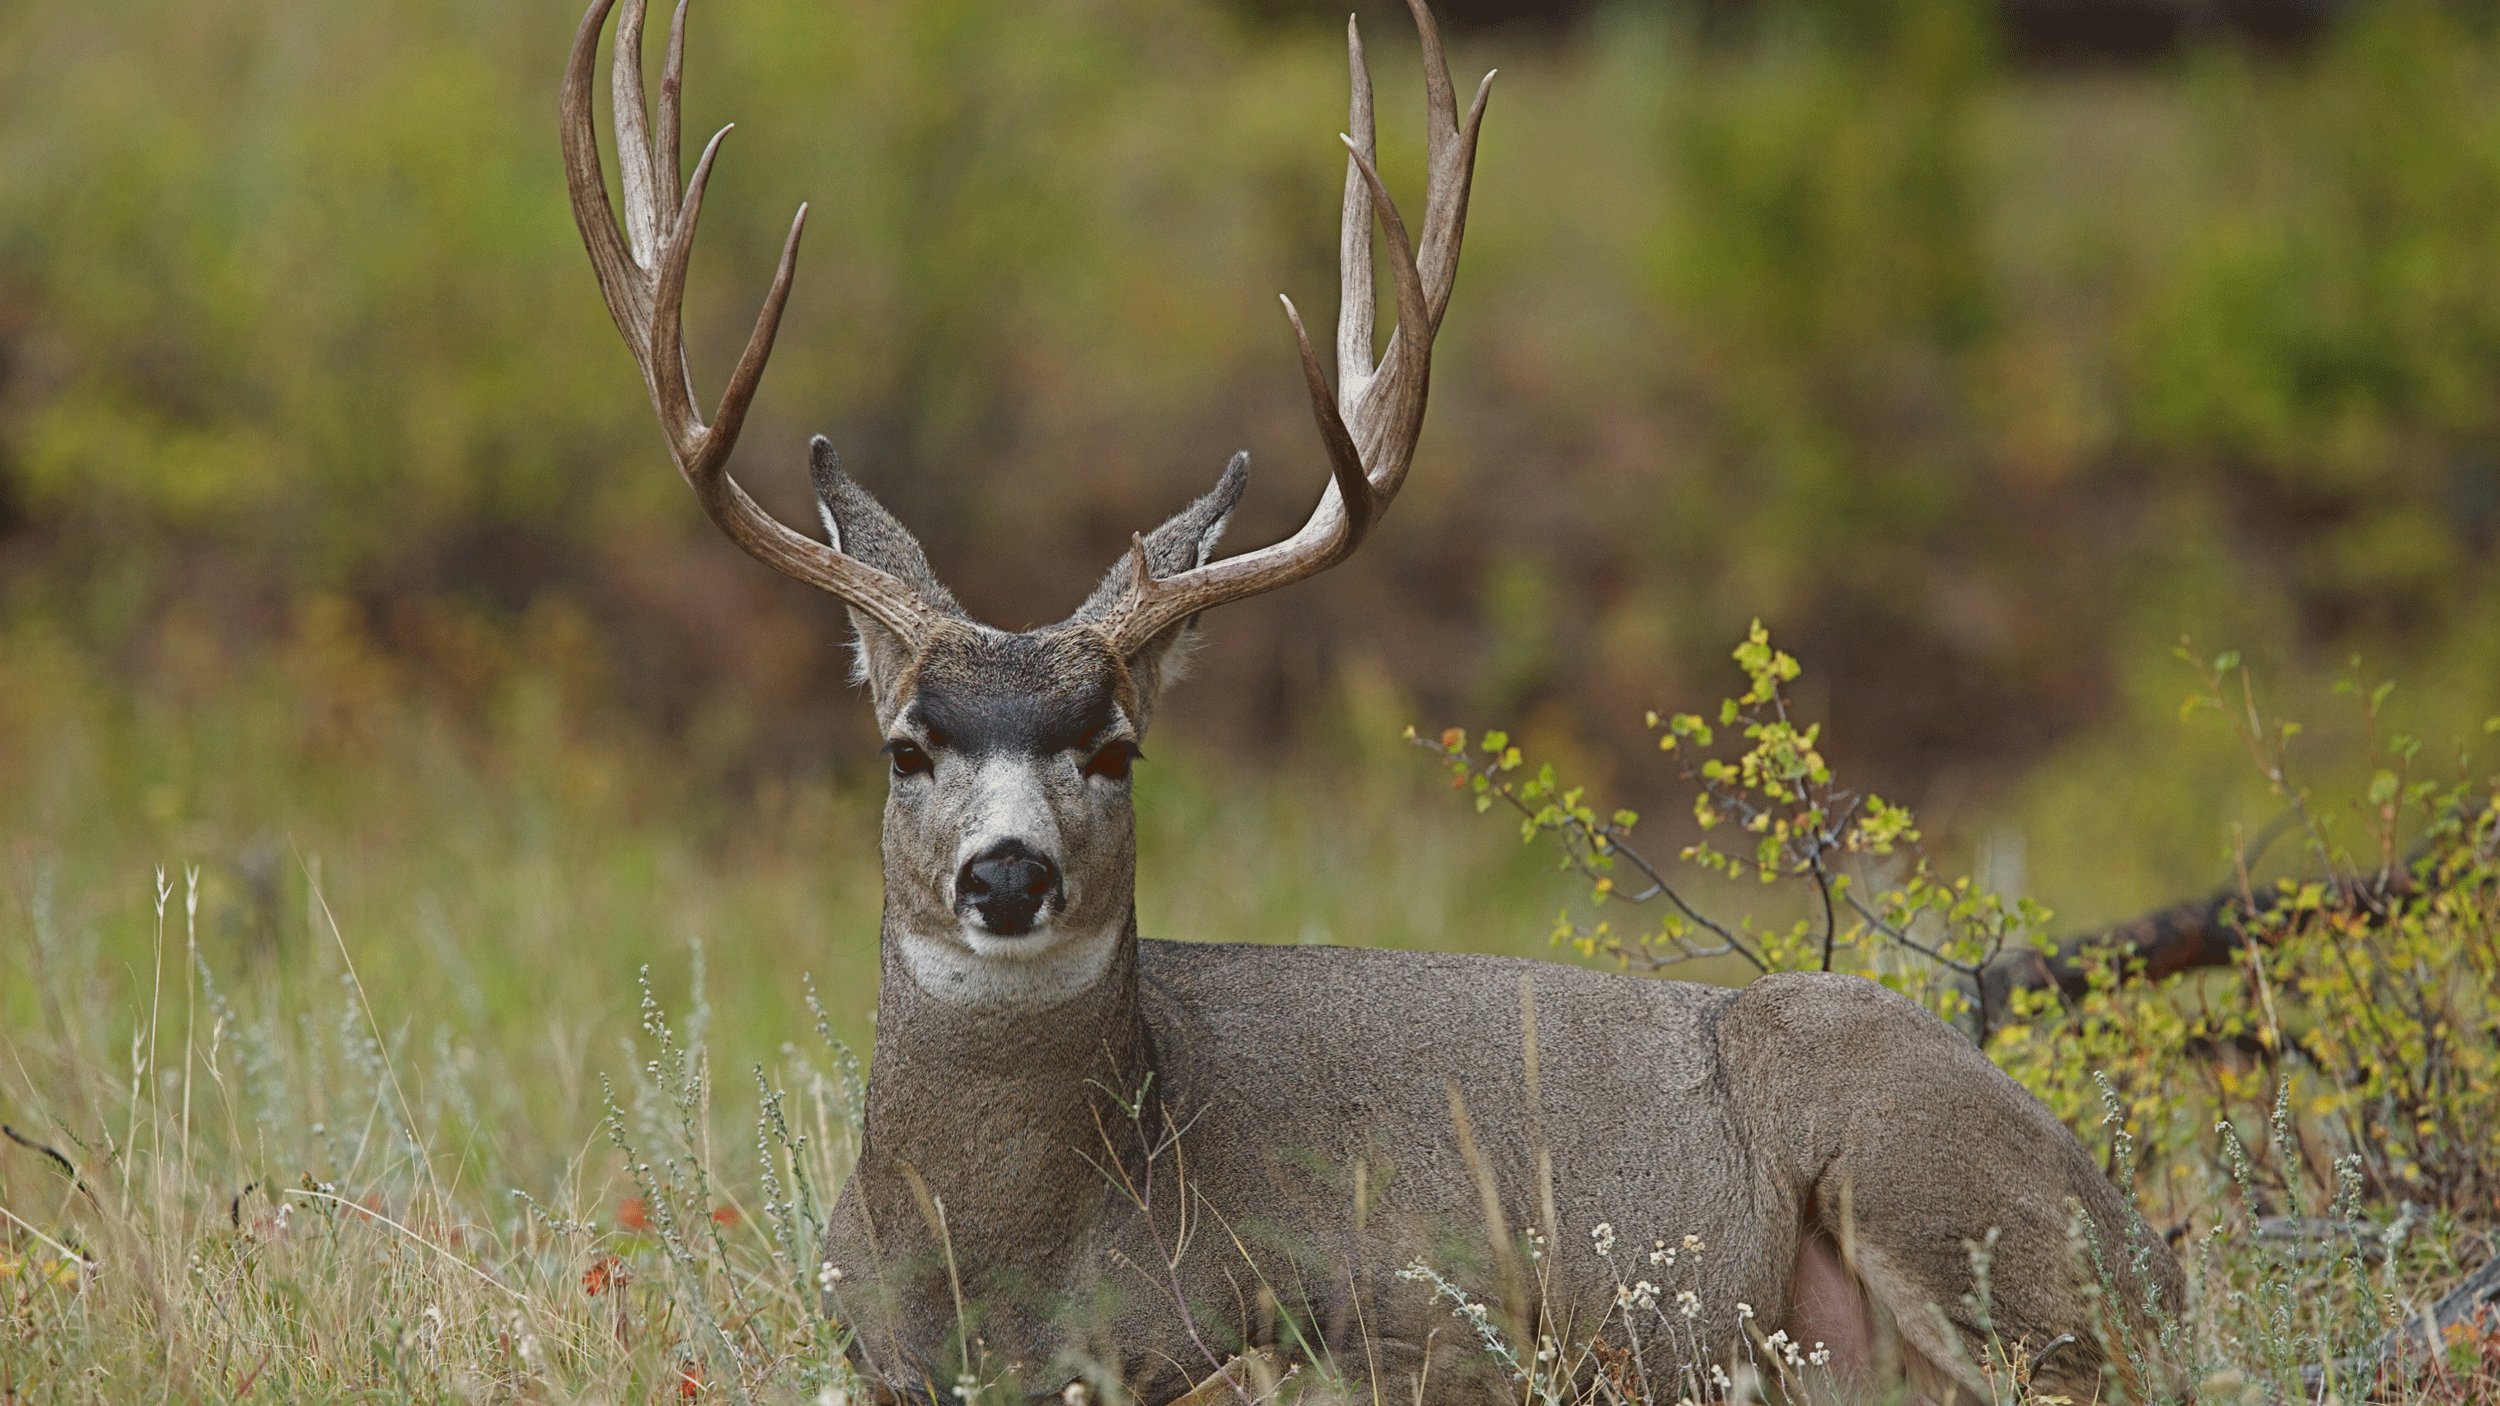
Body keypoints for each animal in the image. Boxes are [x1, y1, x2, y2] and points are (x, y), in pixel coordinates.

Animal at [559, 2, 2184, 1402]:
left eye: (1116, 748)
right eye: (907, 748)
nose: (1007, 873)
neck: (1014, 1272)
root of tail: (2150, 1251)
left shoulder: (1394, 1316)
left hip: (1918, 1160)